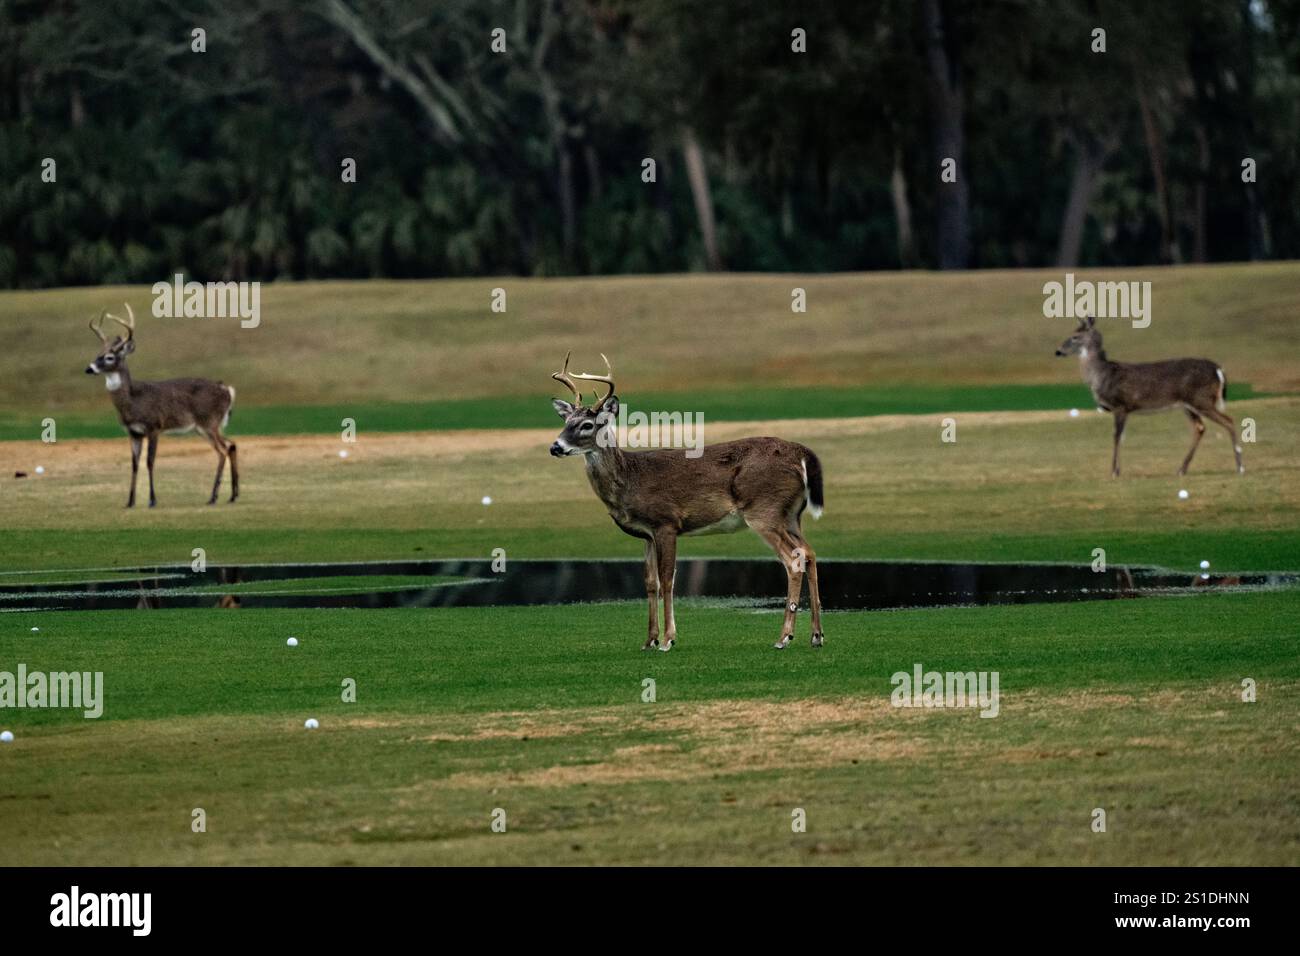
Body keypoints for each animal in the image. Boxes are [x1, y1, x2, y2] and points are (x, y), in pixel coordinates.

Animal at [84, 303, 239, 508]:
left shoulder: (154, 426)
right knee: (232, 444)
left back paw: (213, 497)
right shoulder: (133, 432)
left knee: (222, 451)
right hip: (208, 426)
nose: (89, 368)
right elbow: (134, 464)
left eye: (110, 357)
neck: (133, 401)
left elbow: (150, 462)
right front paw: (130, 501)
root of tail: (227, 389)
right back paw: (233, 495)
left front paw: (152, 500)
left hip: (209, 422)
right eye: (98, 354)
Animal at [549, 353, 825, 651]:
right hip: (791, 515)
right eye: (566, 422)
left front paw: (668, 639)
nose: (555, 447)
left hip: (765, 511)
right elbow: (650, 582)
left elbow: (667, 579)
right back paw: (816, 635)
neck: (630, 479)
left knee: (793, 559)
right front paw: (649, 639)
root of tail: (801, 453)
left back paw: (784, 637)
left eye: (587, 425)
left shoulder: (666, 522)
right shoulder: (646, 534)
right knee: (809, 552)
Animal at [1055, 315, 1243, 478]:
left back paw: (1240, 467)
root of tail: (1218, 369)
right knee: (1200, 427)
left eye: (1075, 336)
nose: (1058, 351)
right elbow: (1121, 437)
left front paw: (1114, 472)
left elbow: (1116, 436)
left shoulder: (1120, 405)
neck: (1101, 375)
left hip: (1202, 400)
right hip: (1188, 404)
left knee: (1229, 421)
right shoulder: (1125, 409)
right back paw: (1181, 469)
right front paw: (1118, 470)